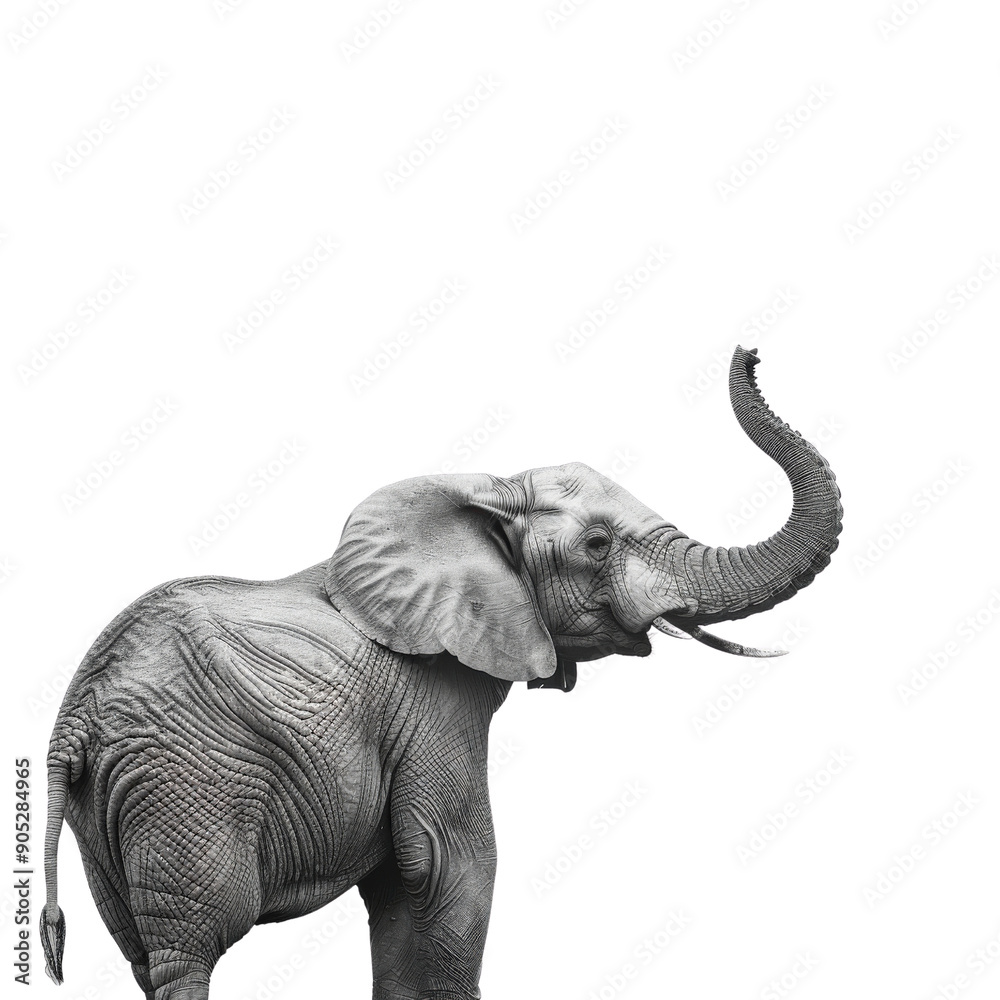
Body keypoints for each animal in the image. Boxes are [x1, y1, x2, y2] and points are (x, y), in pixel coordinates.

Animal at [40, 346, 841, 999]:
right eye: (596, 543)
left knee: (141, 950)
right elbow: (448, 867)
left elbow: (404, 885)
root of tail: (74, 722)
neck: (484, 492)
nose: (752, 349)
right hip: (189, 783)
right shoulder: (431, 702)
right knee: (193, 945)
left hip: (110, 805)